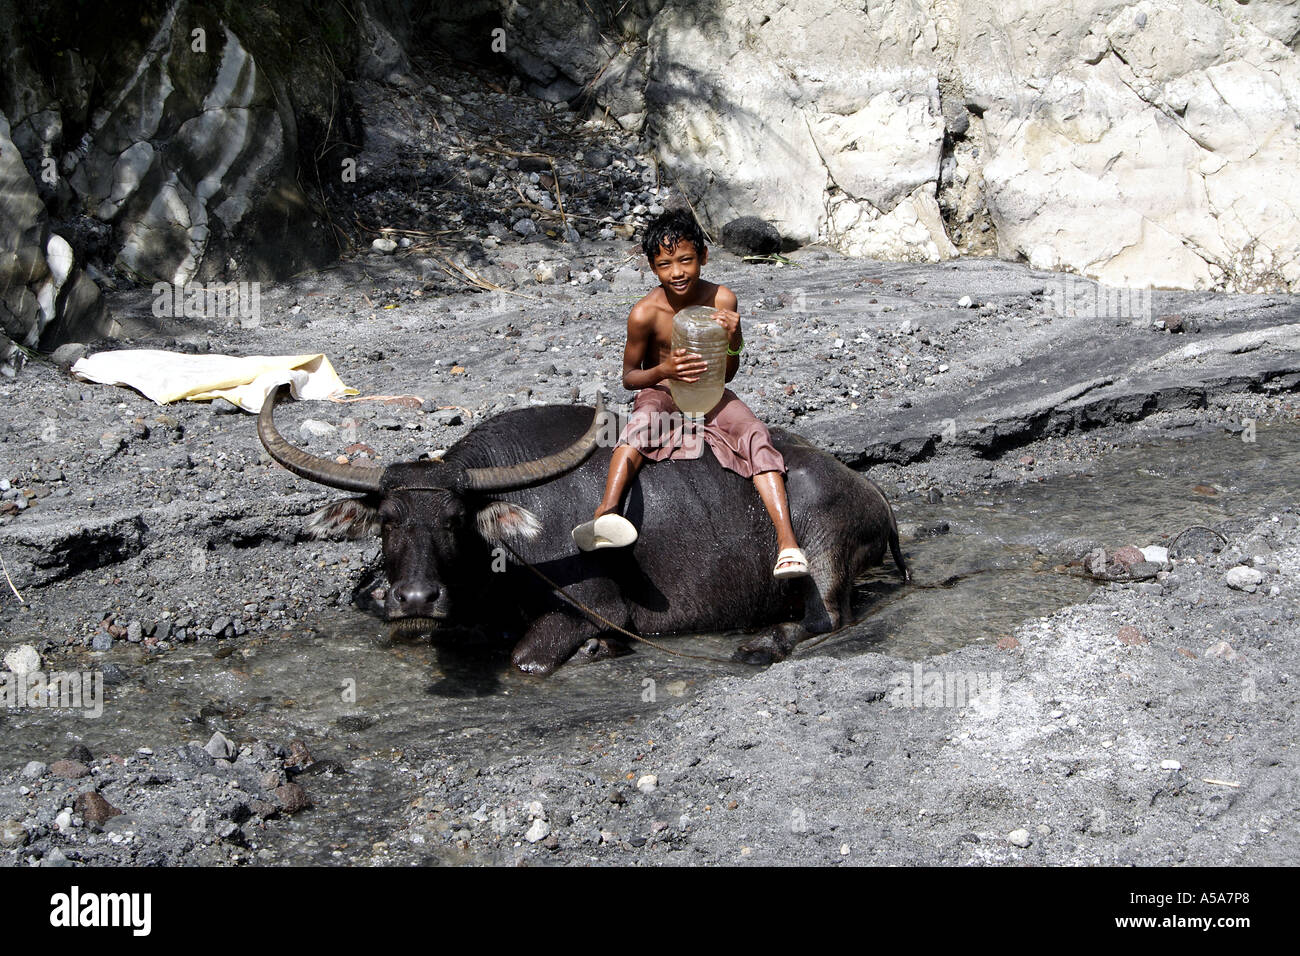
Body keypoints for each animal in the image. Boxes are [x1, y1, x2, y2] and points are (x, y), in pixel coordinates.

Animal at [258, 384, 909, 674]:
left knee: (827, 618)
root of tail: (872, 493)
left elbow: (528, 657)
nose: (416, 598)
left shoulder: (594, 604)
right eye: (388, 522)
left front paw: (600, 644)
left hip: (819, 547)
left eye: (454, 521)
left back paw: (762, 642)